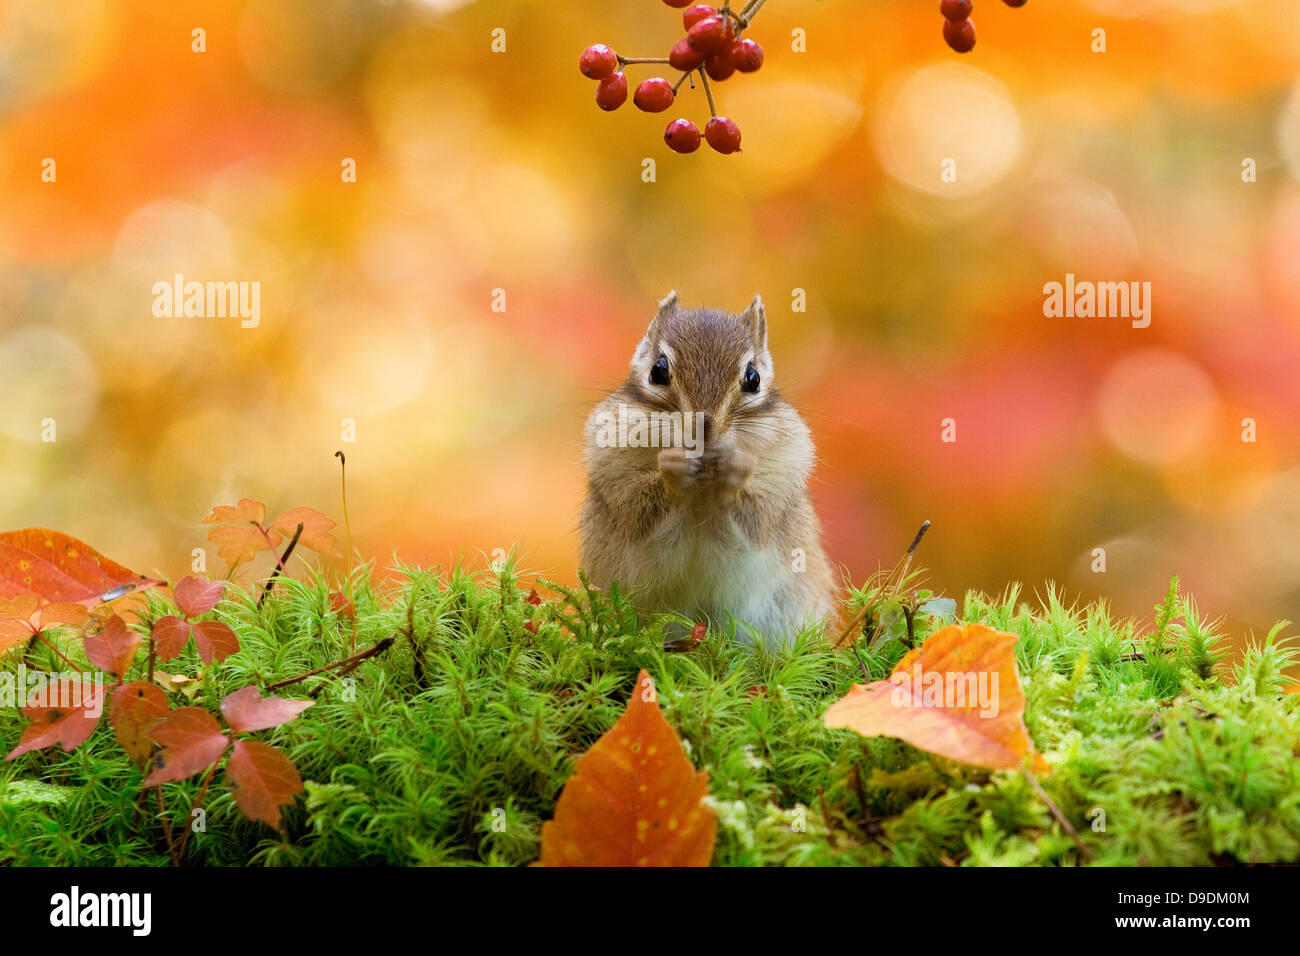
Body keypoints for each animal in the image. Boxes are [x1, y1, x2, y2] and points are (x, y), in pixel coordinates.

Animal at [579, 291, 836, 645]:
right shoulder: (613, 471)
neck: (702, 487)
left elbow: (760, 518)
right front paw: (673, 468)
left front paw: (734, 467)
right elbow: (635, 507)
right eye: (658, 370)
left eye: (753, 378)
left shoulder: (783, 479)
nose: (703, 426)